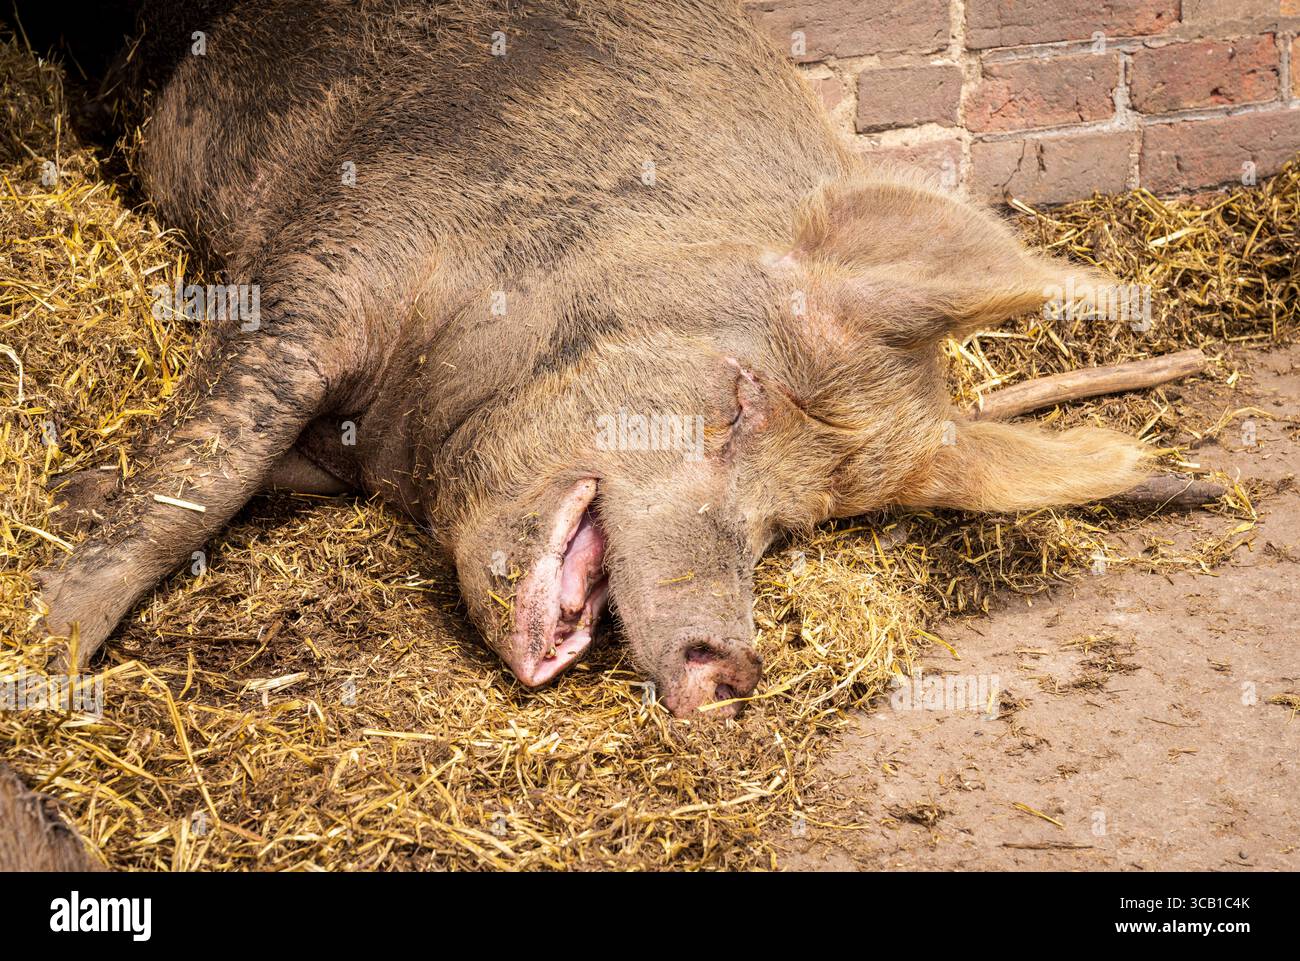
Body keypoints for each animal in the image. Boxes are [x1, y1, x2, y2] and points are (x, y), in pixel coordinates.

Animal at [35, 0, 1149, 717]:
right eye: (740, 397)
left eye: (793, 525)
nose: (729, 671)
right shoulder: (336, 259)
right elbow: (205, 472)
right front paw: (46, 640)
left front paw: (66, 503)